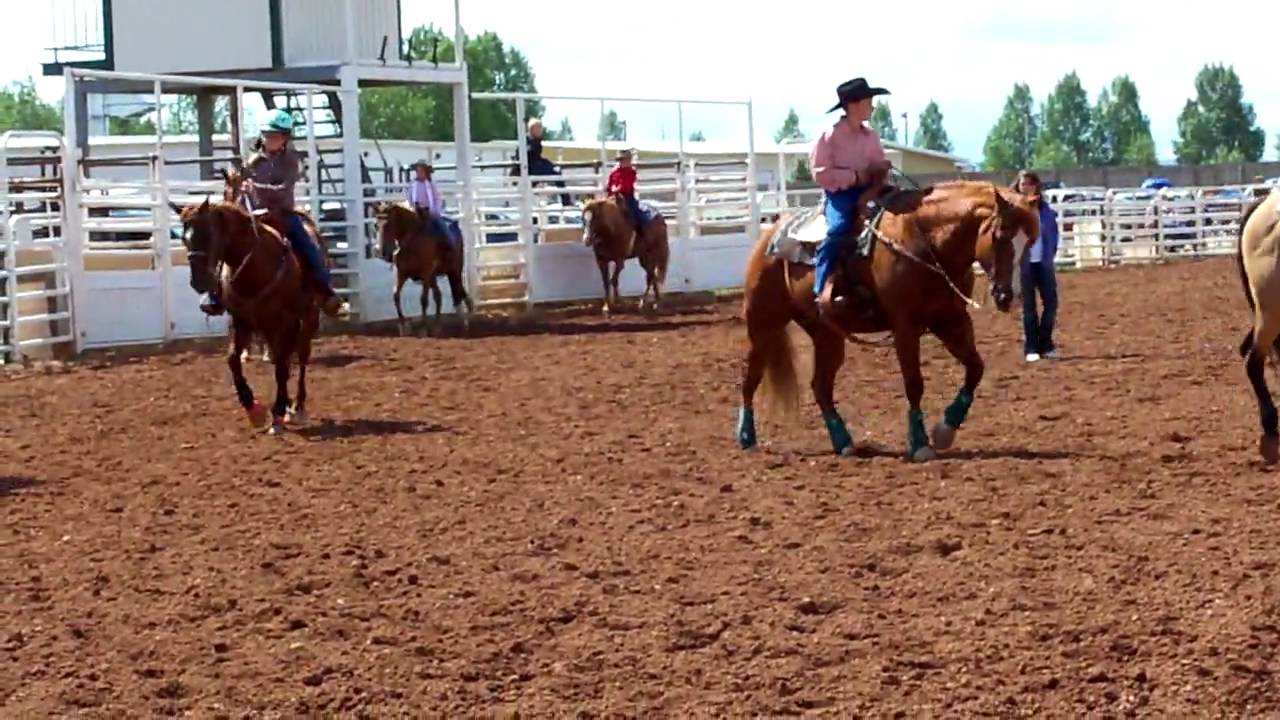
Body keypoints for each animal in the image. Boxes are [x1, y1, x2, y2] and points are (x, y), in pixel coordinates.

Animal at [172, 197, 320, 435]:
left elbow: (282, 367)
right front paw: (254, 409)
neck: (257, 266)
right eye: (184, 238)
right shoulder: (241, 321)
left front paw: (278, 414)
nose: (198, 282)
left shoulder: (286, 322)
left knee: (301, 358)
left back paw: (297, 407)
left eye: (208, 234)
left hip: (307, 319)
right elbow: (233, 359)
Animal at [373, 201, 473, 336]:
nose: (381, 252)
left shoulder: (426, 273)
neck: (412, 241)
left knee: (457, 290)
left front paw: (423, 328)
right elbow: (396, 295)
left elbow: (423, 300)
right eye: (376, 225)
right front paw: (403, 326)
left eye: (389, 224)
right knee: (439, 295)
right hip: (434, 277)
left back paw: (465, 320)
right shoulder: (401, 273)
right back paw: (438, 326)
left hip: (454, 271)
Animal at [737, 180, 1039, 461]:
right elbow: (914, 383)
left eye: (1030, 242)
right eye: (1000, 235)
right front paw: (919, 443)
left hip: (827, 334)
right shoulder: (905, 327)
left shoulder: (951, 321)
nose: (1007, 296)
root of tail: (770, 235)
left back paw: (843, 442)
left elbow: (976, 368)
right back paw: (746, 437)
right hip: (763, 325)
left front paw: (945, 430)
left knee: (820, 386)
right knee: (750, 377)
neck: (927, 242)